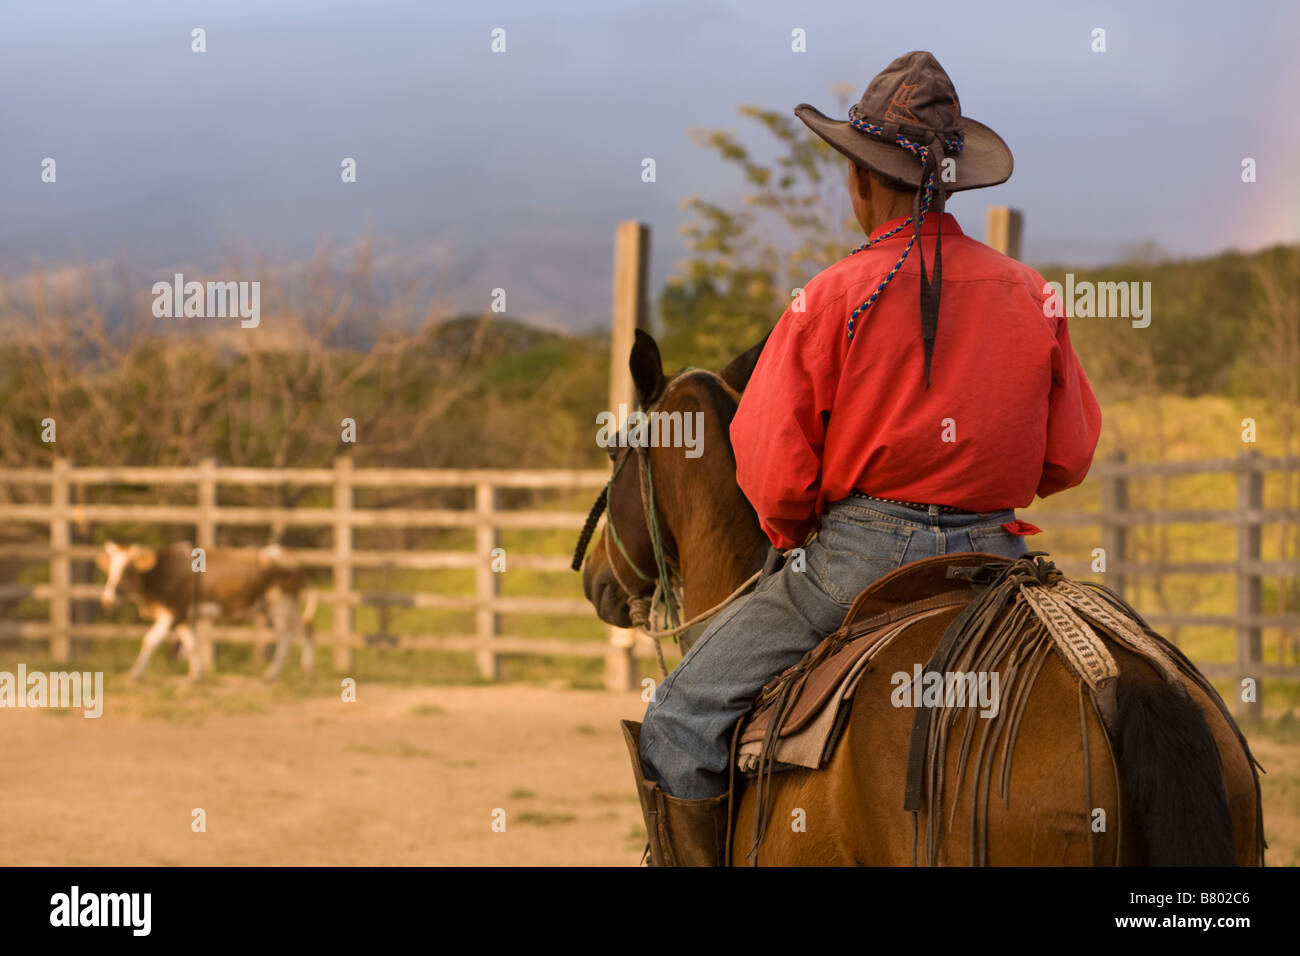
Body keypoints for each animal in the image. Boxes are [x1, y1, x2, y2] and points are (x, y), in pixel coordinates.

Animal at [96, 540, 317, 682]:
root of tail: (290, 556)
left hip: (279, 603)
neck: (162, 571)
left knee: (286, 635)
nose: (107, 598)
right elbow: (191, 643)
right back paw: (306, 671)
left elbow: (150, 640)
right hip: (287, 605)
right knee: (304, 629)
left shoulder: (174, 611)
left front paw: (135, 674)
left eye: (129, 569)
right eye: (110, 570)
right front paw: (196, 675)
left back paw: (272, 674)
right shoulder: (185, 617)